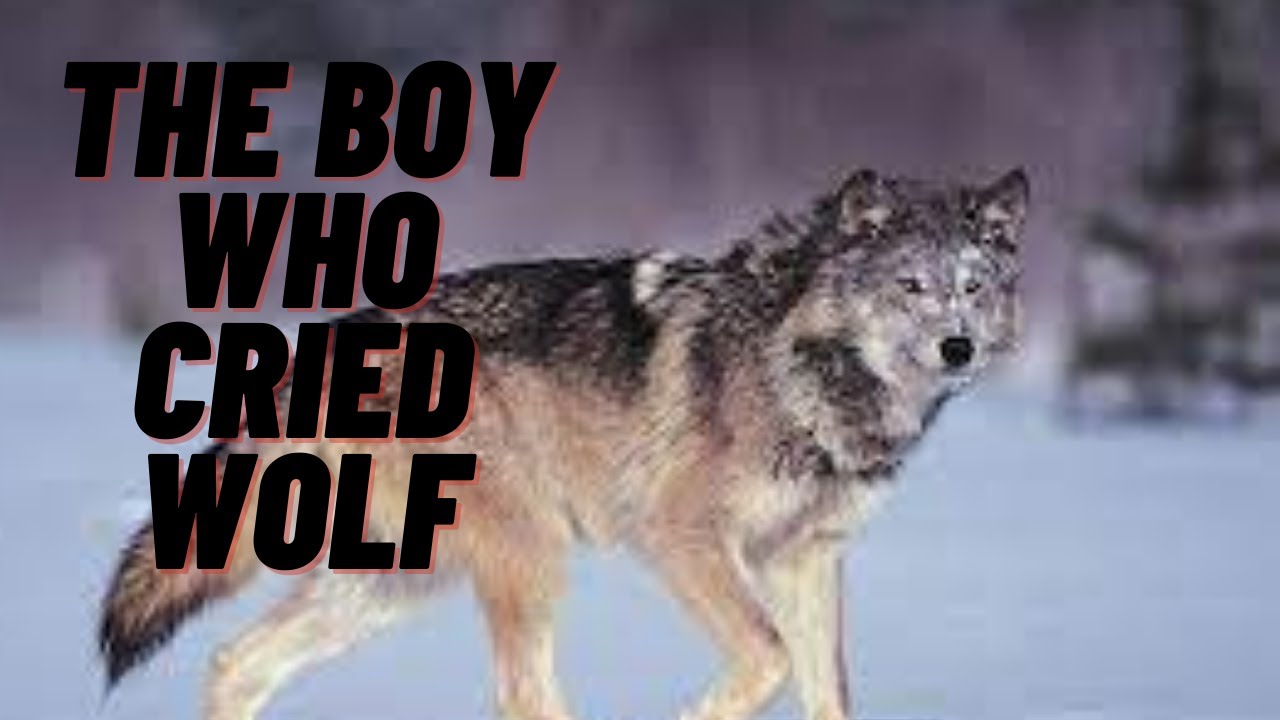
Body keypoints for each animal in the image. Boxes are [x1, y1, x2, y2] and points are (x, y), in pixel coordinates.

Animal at [100, 167, 1028, 720]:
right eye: (910, 287)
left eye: (972, 288)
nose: (959, 348)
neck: (806, 373)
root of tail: (324, 347)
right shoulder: (682, 538)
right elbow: (766, 661)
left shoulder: (810, 557)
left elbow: (828, 691)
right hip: (529, 555)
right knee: (522, 696)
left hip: (399, 583)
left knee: (236, 660)